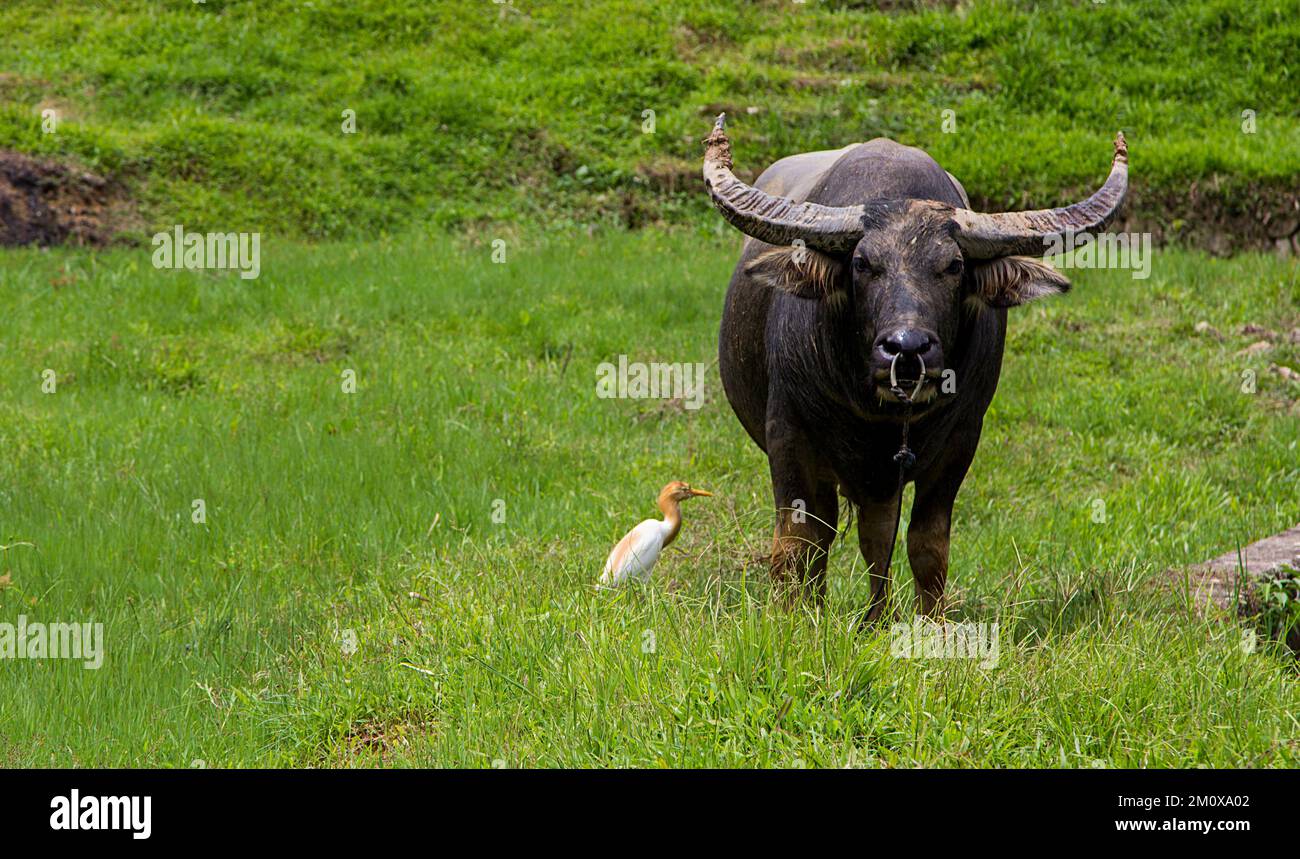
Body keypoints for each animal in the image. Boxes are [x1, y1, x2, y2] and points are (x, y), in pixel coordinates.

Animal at [702, 115, 1128, 620]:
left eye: (953, 265)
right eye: (863, 263)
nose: (906, 349)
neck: (881, 411)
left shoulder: (960, 439)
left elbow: (924, 543)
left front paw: (929, 621)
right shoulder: (789, 432)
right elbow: (799, 541)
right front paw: (795, 617)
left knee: (876, 535)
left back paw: (877, 617)